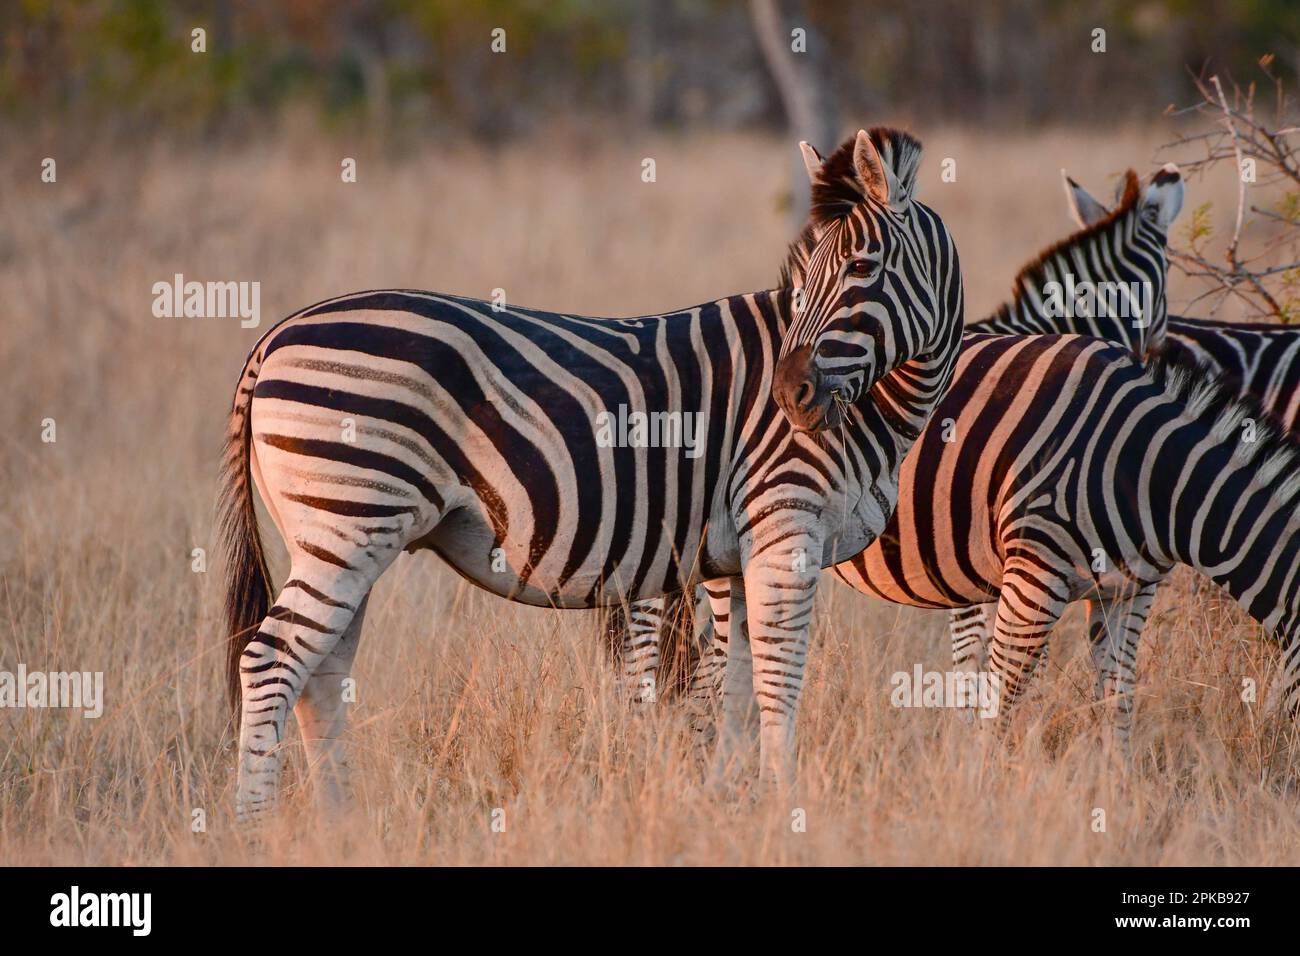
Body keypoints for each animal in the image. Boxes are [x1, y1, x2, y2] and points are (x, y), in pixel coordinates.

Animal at [219, 127, 966, 816]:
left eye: (863, 267)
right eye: (806, 276)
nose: (789, 396)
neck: (877, 408)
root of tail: (274, 335)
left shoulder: (738, 554)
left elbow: (736, 688)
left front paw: (726, 802)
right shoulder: (785, 528)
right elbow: (778, 681)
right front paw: (783, 808)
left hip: (338, 534)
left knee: (321, 673)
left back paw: (338, 822)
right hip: (349, 520)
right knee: (271, 661)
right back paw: (256, 826)